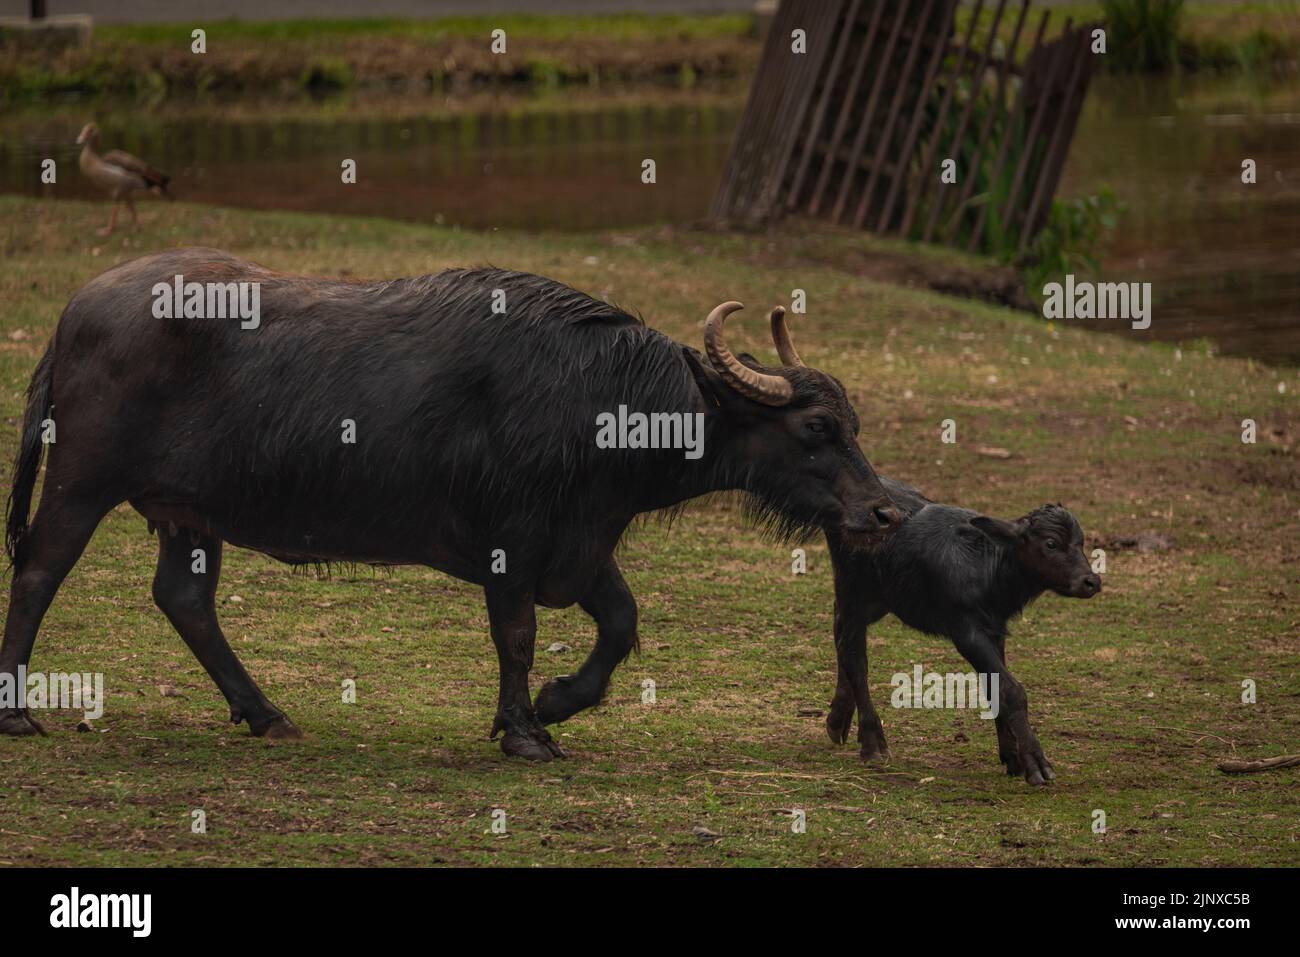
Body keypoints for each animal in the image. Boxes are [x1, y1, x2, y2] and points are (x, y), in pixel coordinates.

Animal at [3, 249, 899, 759]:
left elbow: (621, 623)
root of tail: (76, 311)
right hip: (82, 481)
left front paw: (556, 703)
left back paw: (266, 714)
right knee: (39, 570)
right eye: (817, 426)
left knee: (184, 598)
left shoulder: (582, 543)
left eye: (855, 421)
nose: (882, 513)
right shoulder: (516, 544)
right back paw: (17, 713)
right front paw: (526, 731)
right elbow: (517, 635)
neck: (602, 397)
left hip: (188, 513)